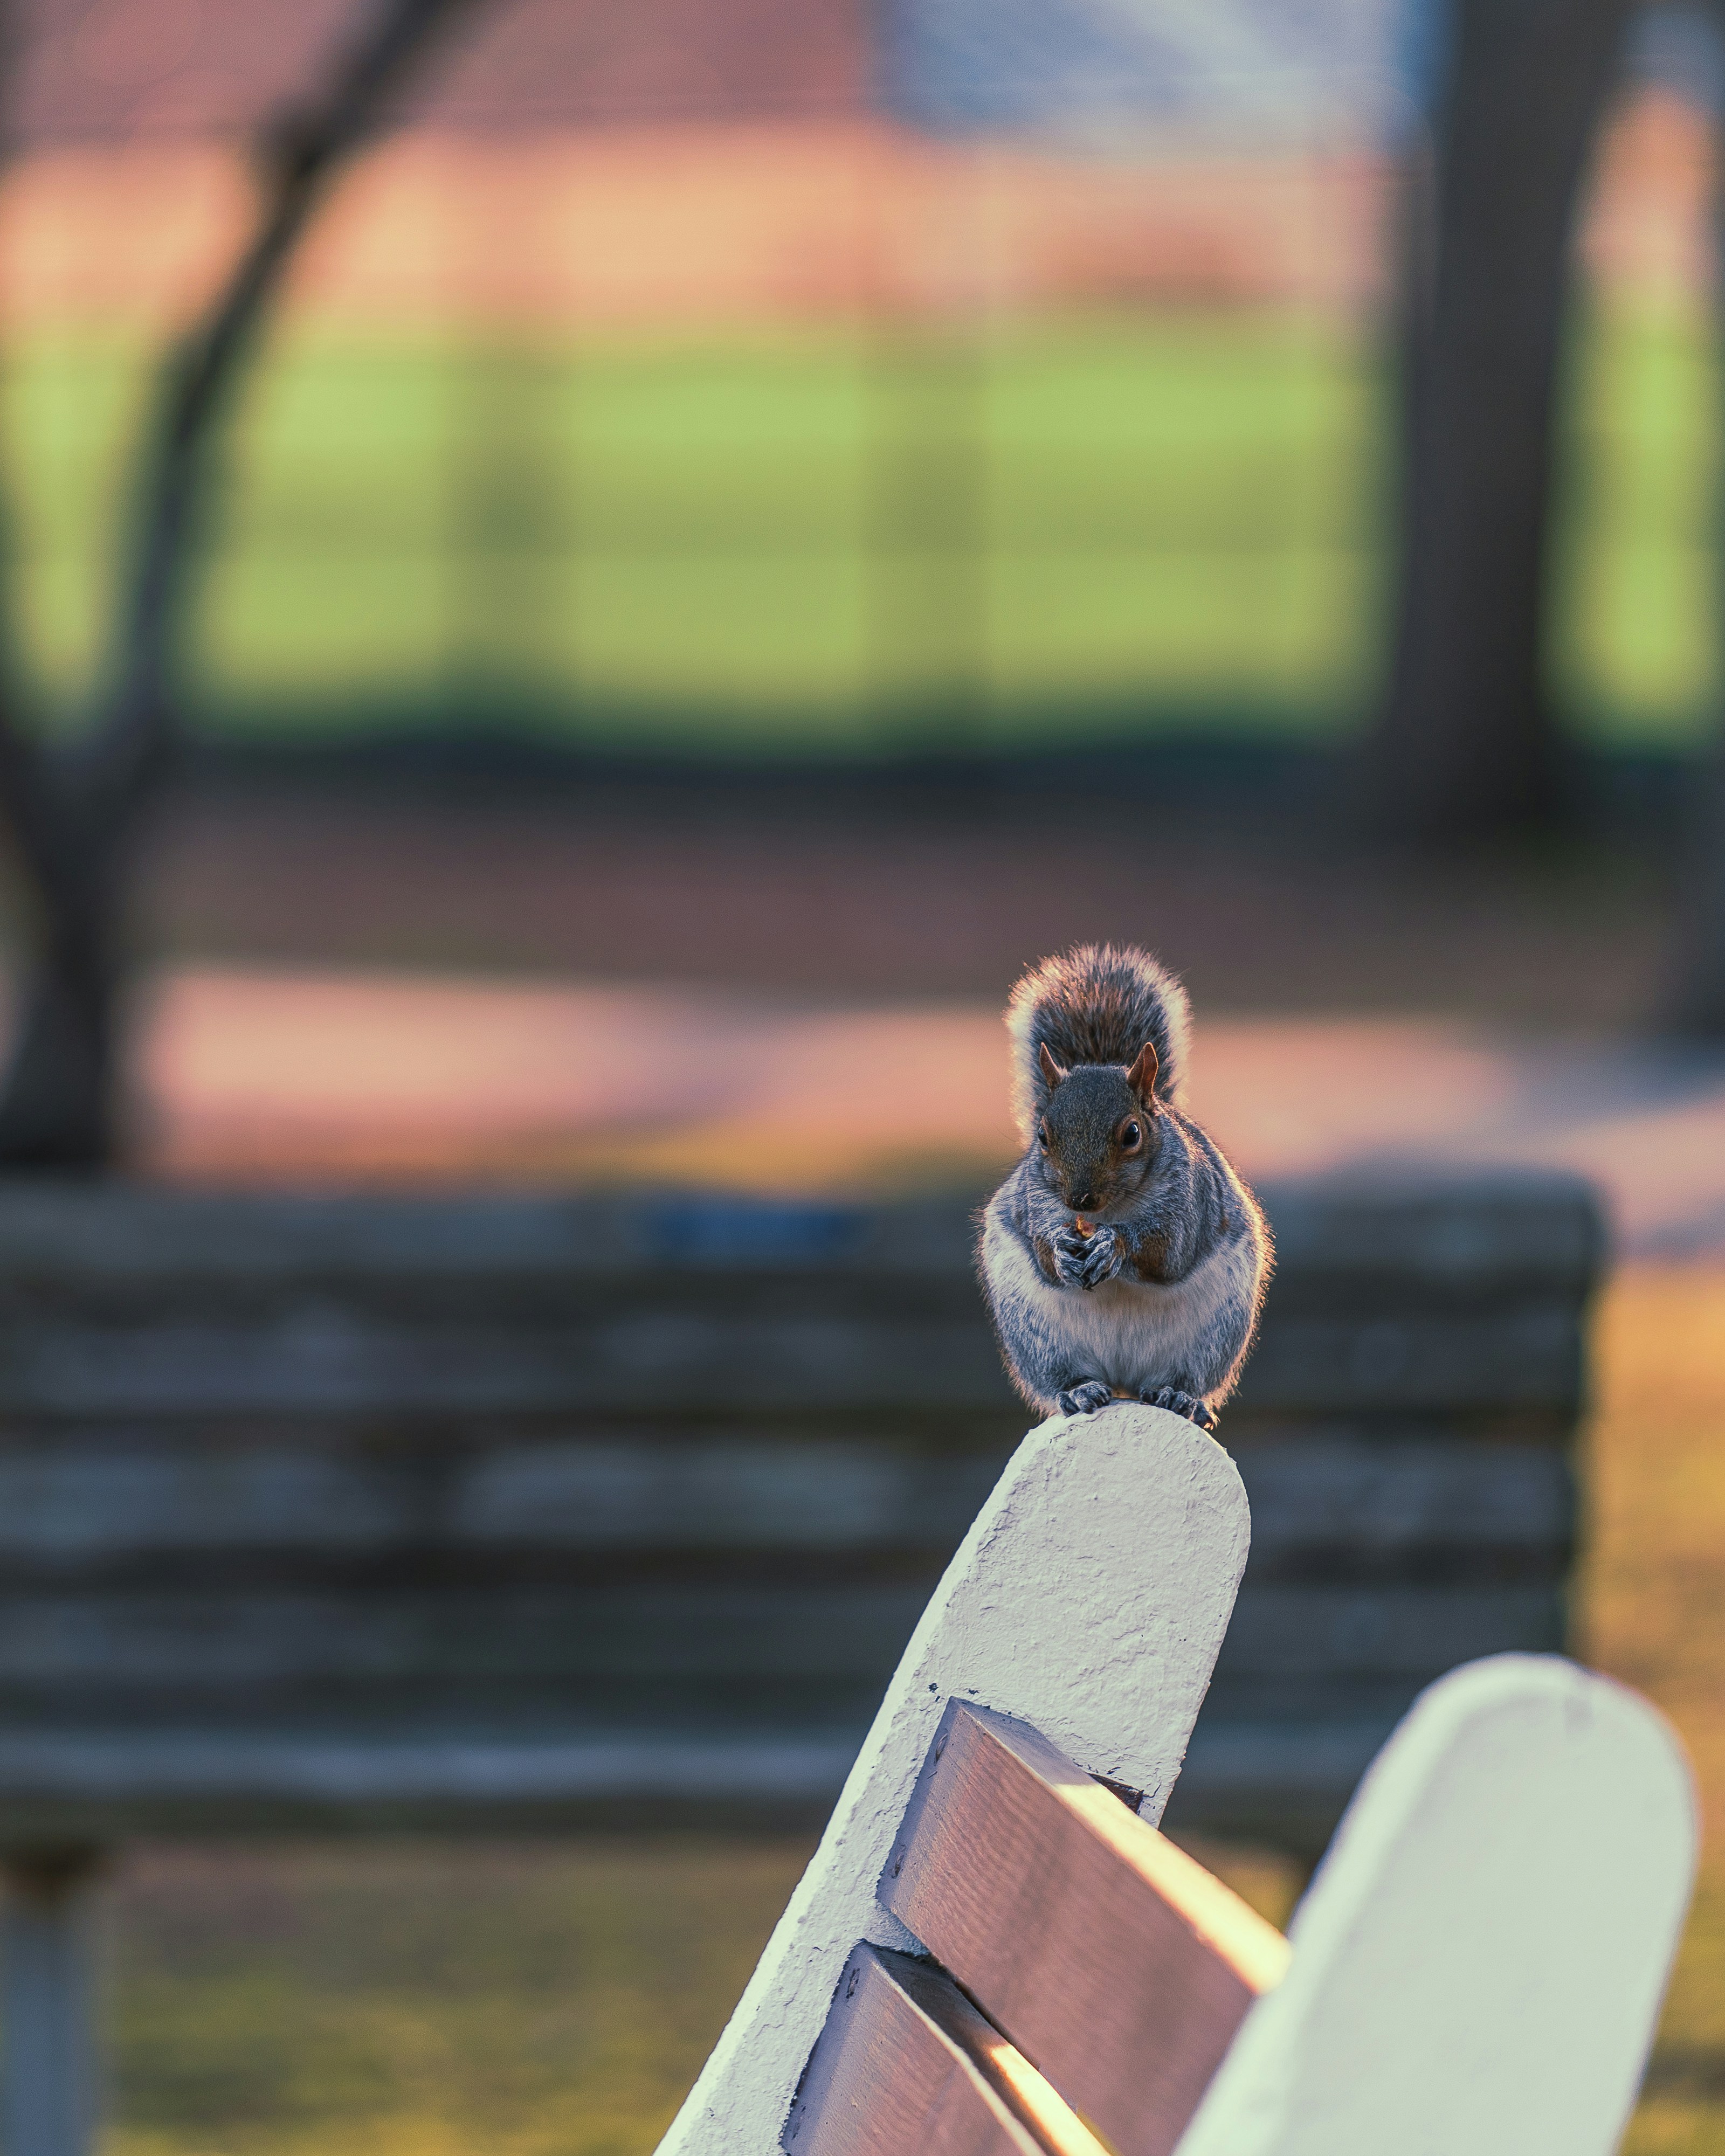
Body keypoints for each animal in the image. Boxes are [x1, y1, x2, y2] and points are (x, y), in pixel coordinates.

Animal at [977, 943, 1271, 1429]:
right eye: (1042, 1136)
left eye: (1132, 1134)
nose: (1080, 1199)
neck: (1106, 1214)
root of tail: (1124, 1384)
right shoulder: (1033, 1204)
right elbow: (1045, 1257)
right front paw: (1060, 1249)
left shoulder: (1190, 1202)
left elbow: (1169, 1252)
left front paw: (1113, 1246)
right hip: (1038, 1337)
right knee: (1065, 1376)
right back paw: (1078, 1391)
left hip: (1213, 1337)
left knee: (1185, 1377)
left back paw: (1178, 1396)